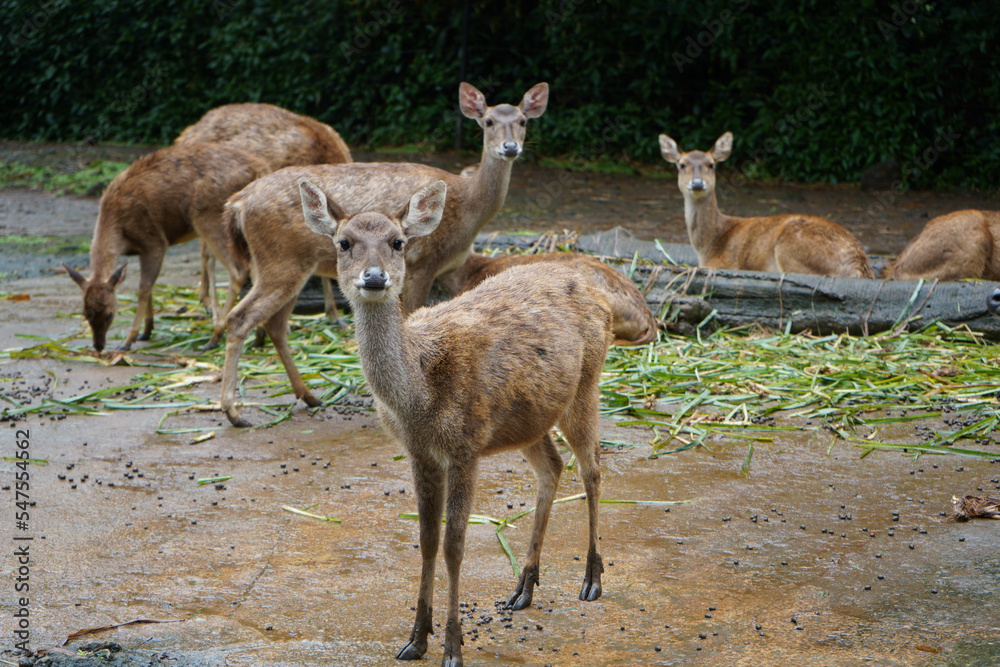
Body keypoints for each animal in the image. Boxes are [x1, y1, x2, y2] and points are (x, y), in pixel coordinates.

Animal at [64, 142, 270, 352]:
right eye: (85, 313)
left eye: (109, 313)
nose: (98, 346)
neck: (119, 230)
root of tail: (260, 167)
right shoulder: (141, 249)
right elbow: (147, 288)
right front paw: (147, 330)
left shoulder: (154, 241)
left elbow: (143, 288)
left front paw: (128, 340)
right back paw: (259, 337)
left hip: (208, 218)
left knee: (238, 271)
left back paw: (215, 336)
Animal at [219, 81, 549, 427]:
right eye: (488, 121)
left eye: (523, 120)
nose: (510, 148)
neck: (467, 211)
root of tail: (238, 202)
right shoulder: (423, 263)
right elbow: (413, 314)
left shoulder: (447, 269)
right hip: (280, 261)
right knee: (241, 318)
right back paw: (234, 410)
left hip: (286, 265)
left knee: (275, 324)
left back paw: (309, 395)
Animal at [298, 177, 613, 667]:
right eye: (344, 242)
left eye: (398, 241)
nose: (375, 277)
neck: (420, 393)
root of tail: (598, 296)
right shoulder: (421, 452)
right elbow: (427, 539)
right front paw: (415, 638)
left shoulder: (466, 445)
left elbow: (454, 546)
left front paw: (451, 647)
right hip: (529, 417)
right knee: (552, 467)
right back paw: (523, 588)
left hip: (586, 383)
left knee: (593, 468)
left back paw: (592, 580)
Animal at [659, 132, 875, 278]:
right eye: (682, 164)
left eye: (711, 164)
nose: (697, 183)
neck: (708, 245)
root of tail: (859, 267)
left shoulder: (724, 262)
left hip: (791, 247)